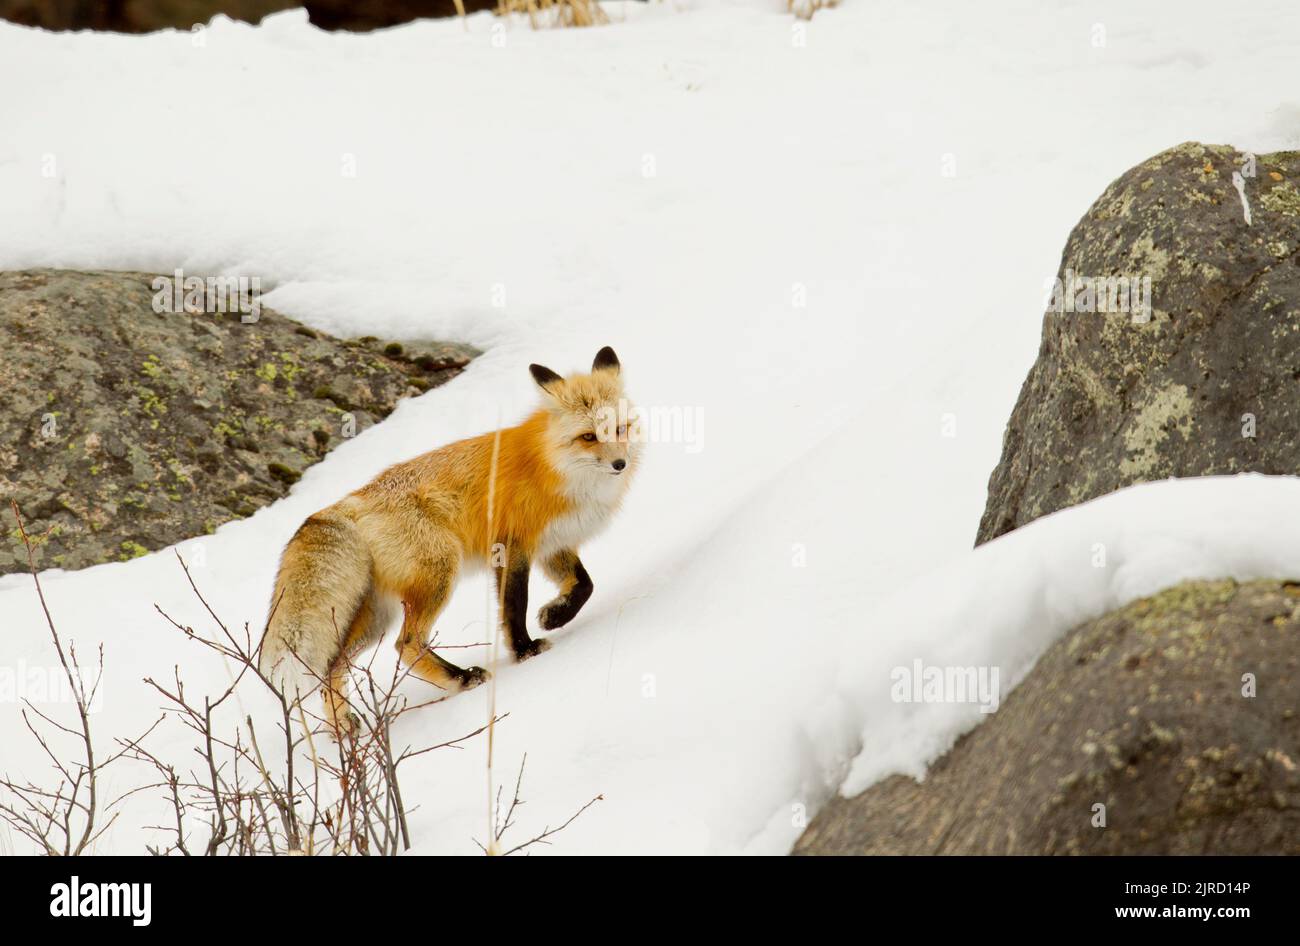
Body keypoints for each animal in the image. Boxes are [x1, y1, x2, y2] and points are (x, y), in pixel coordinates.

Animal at [258, 346, 639, 734]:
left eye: (619, 429)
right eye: (589, 437)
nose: (620, 464)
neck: (557, 468)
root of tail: (349, 502)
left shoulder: (552, 543)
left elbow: (584, 585)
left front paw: (555, 615)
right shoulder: (511, 545)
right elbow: (514, 606)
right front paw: (525, 650)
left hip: (377, 615)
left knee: (333, 665)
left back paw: (343, 728)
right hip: (438, 576)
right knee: (406, 644)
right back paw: (461, 679)